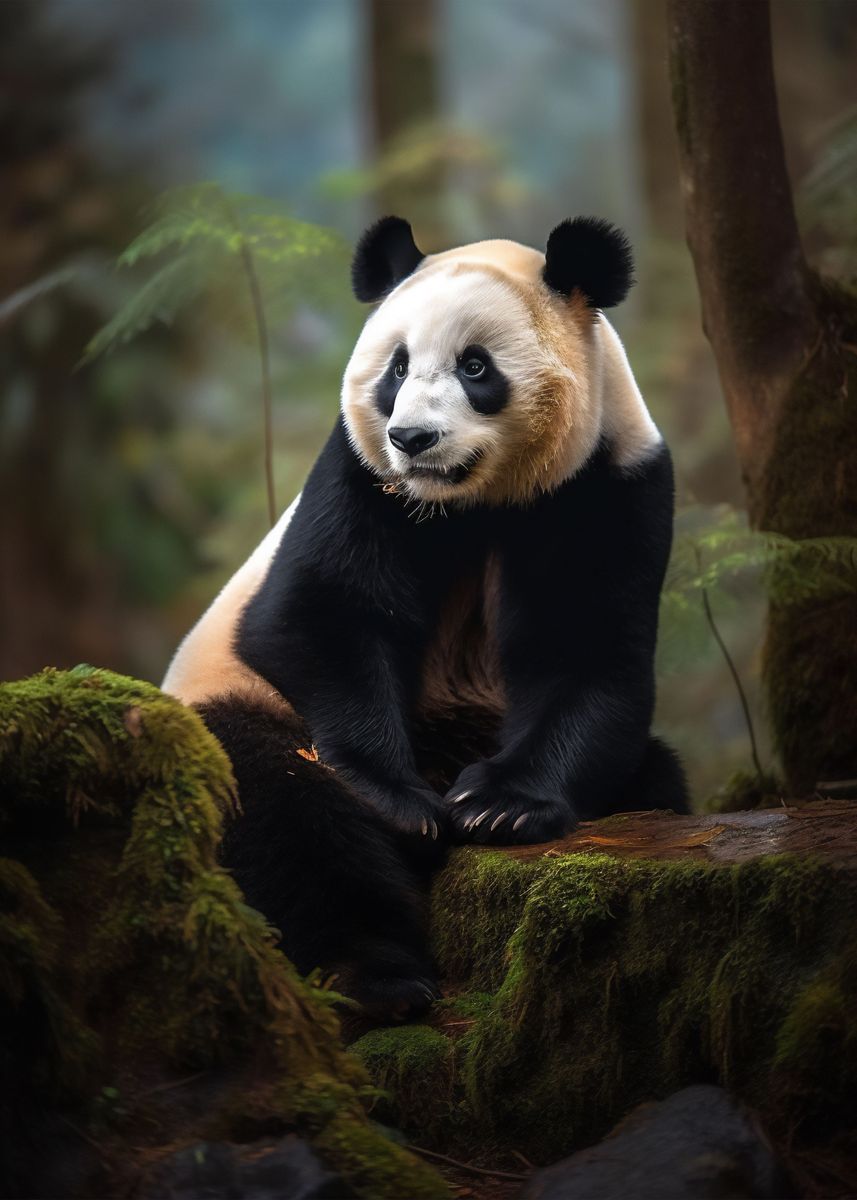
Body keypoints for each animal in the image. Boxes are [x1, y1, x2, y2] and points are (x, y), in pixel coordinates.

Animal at [162, 215, 688, 1019]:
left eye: (475, 367)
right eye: (397, 369)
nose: (412, 439)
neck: (464, 502)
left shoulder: (606, 481)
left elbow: (587, 655)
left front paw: (502, 808)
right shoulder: (357, 473)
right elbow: (316, 614)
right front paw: (400, 803)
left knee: (658, 780)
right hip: (239, 701)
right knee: (281, 807)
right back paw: (377, 975)